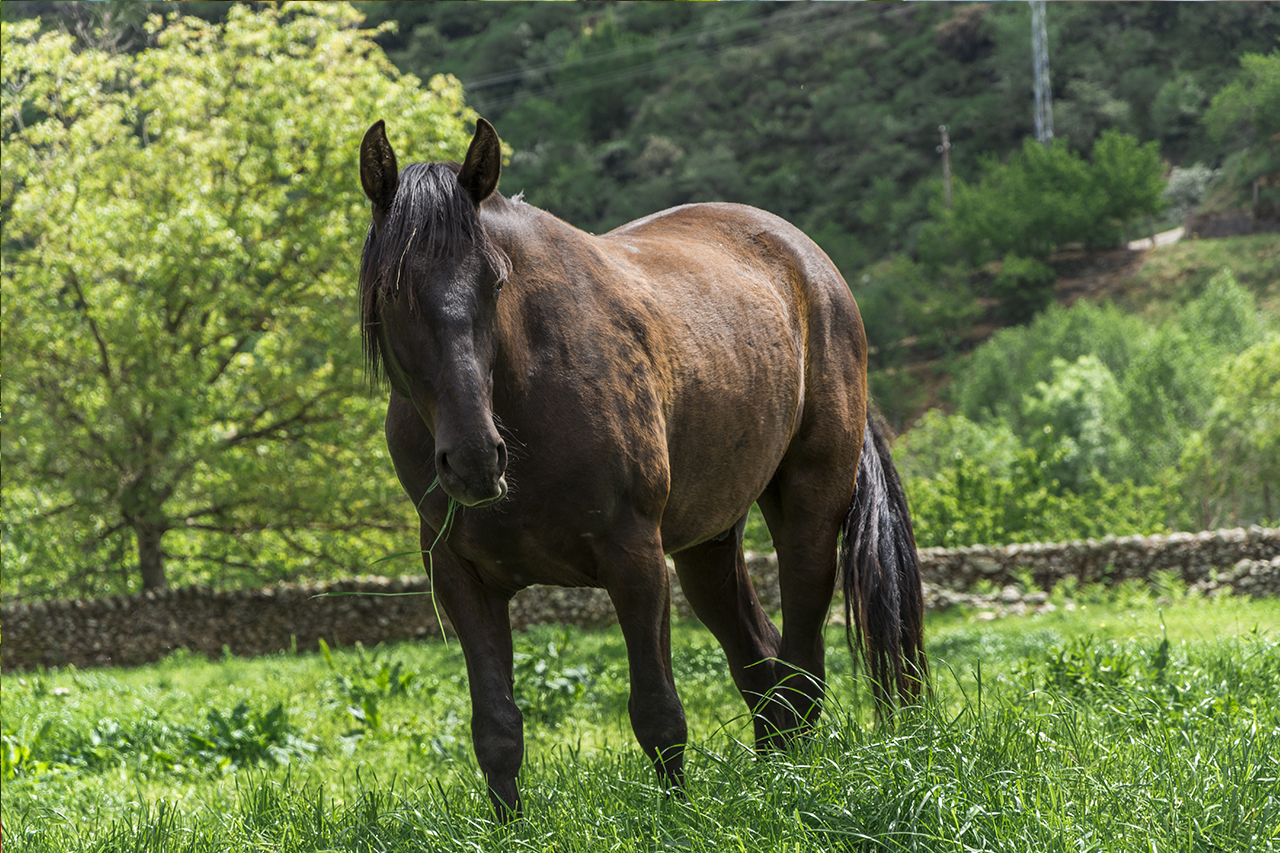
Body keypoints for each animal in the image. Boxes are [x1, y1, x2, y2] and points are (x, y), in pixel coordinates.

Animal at [357, 118, 927, 821]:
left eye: (495, 282)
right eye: (392, 289)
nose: (474, 459)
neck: (526, 386)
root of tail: (813, 266)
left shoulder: (633, 557)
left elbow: (657, 713)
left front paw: (679, 821)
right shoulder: (461, 576)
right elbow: (496, 728)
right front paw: (511, 828)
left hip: (809, 516)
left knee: (799, 672)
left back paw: (800, 788)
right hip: (708, 545)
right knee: (762, 668)